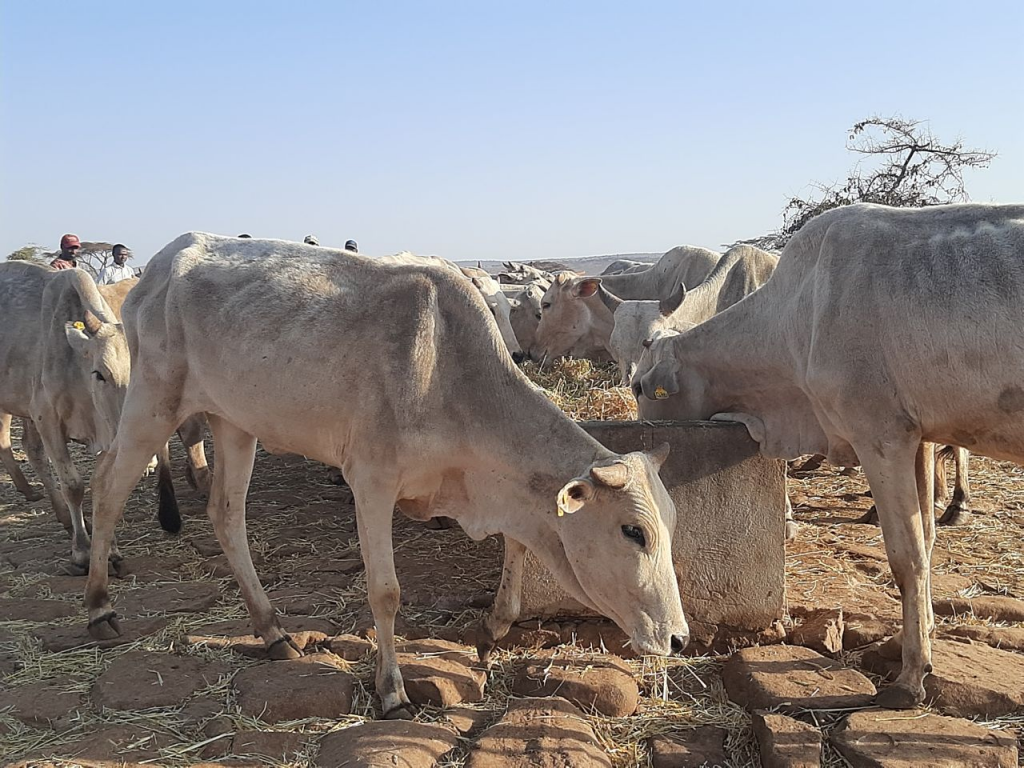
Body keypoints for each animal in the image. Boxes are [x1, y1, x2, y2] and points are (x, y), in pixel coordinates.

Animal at [82, 234, 689, 718]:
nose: (679, 638)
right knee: (107, 485)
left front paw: (494, 624)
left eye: (669, 527)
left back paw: (273, 630)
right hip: (154, 400)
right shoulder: (371, 481)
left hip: (234, 422)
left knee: (226, 514)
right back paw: (99, 606)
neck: (447, 372)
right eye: (633, 532)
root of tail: (159, 266)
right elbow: (386, 592)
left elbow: (515, 547)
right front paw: (391, 688)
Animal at [633, 202, 1024, 709]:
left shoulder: (881, 437)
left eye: (640, 388)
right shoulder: (917, 437)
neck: (799, 312)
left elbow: (907, 558)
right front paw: (909, 642)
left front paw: (911, 675)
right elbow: (928, 540)